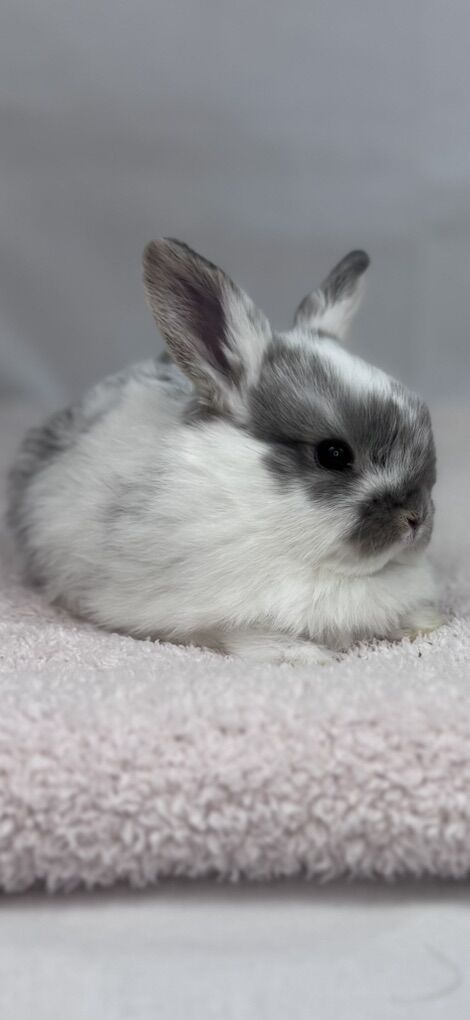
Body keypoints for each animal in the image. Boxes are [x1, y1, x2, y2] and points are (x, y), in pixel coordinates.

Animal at [6, 238, 442, 666]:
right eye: (333, 454)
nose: (415, 519)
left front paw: (427, 624)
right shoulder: (213, 610)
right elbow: (248, 633)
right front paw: (306, 655)